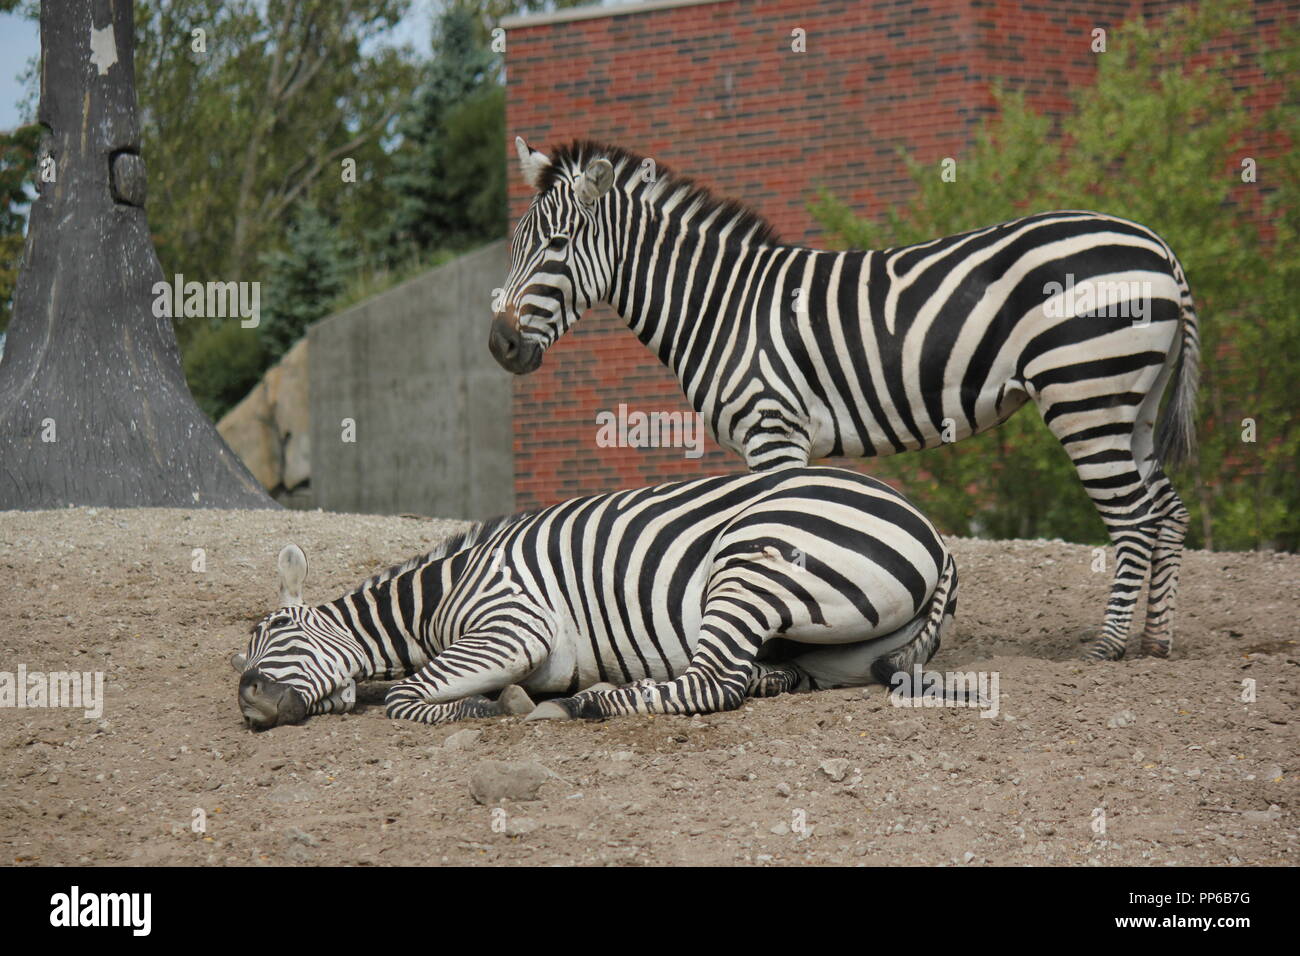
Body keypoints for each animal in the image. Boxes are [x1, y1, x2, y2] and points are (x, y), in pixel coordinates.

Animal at [231, 467, 959, 728]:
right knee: (763, 674)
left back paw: (595, 703)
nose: (248, 702)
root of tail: (933, 532)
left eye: (277, 635)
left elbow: (406, 697)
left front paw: (484, 708)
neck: (441, 596)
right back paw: (772, 676)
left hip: (753, 558)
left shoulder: (512, 626)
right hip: (841, 648)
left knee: (713, 683)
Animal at [490, 138, 1200, 662]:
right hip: (1131, 403)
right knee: (1167, 509)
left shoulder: (773, 429)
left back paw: (1108, 648)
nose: (501, 345)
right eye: (516, 243)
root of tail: (1158, 245)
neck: (721, 306)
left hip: (1085, 393)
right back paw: (1156, 642)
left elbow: (781, 536)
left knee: (1133, 517)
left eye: (554, 246)